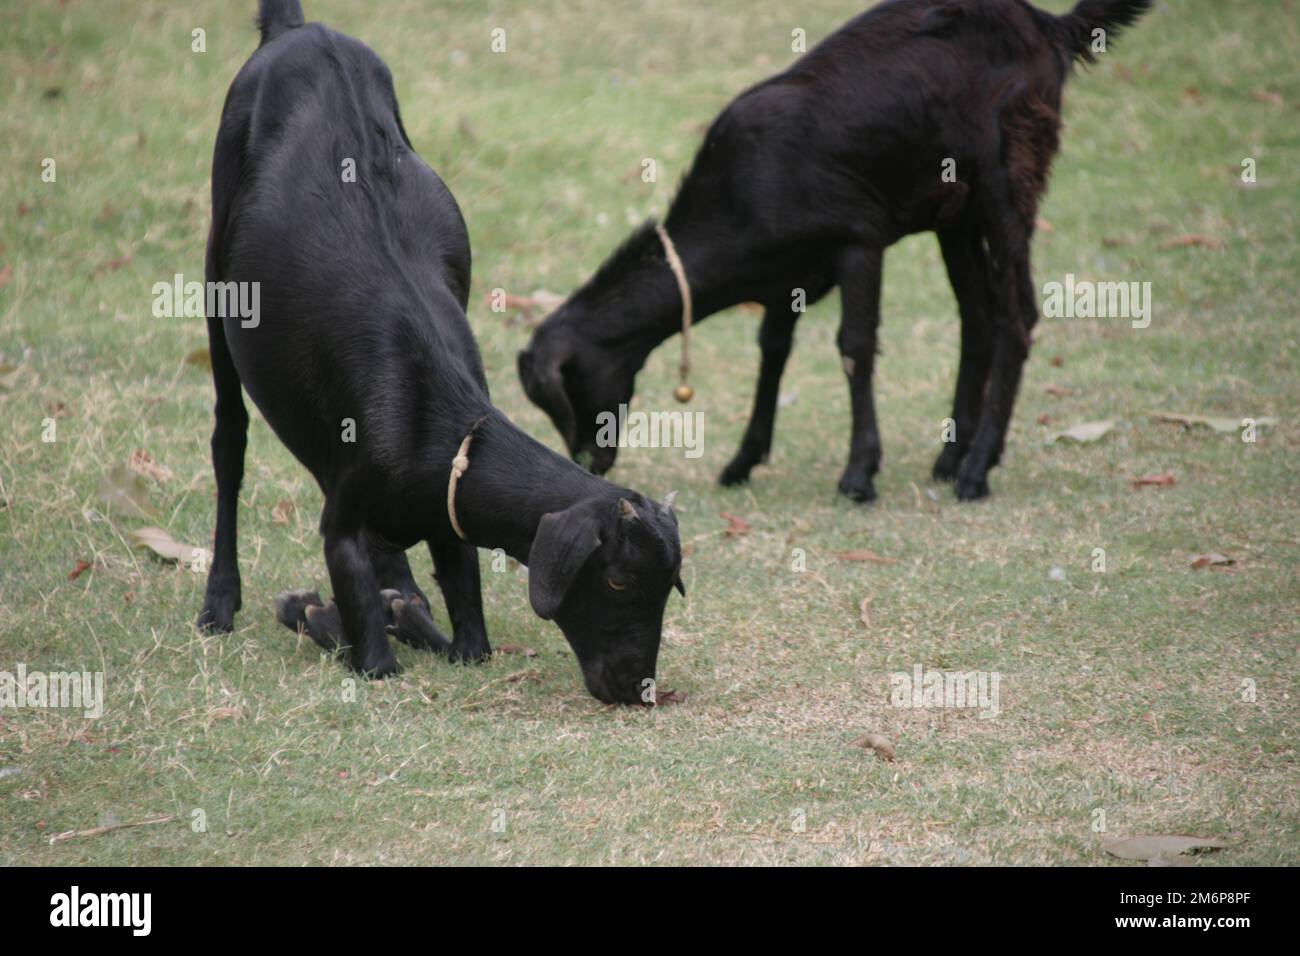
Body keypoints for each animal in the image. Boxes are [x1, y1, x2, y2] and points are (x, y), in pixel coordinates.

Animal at [196, 0, 684, 705]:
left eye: (668, 589)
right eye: (618, 580)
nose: (635, 688)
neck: (436, 425)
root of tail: (299, 31)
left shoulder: (449, 518)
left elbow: (470, 646)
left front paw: (402, 608)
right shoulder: (344, 518)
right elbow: (372, 659)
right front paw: (314, 611)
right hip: (218, 277)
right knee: (228, 441)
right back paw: (219, 602)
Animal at [520, 0, 1152, 501]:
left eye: (568, 388)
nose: (589, 462)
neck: (738, 195)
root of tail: (1048, 24)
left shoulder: (858, 237)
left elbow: (854, 346)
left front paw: (859, 474)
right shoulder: (785, 275)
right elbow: (772, 349)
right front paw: (742, 461)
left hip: (1008, 173)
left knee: (1017, 315)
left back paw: (976, 472)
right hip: (954, 212)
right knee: (979, 315)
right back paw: (952, 458)